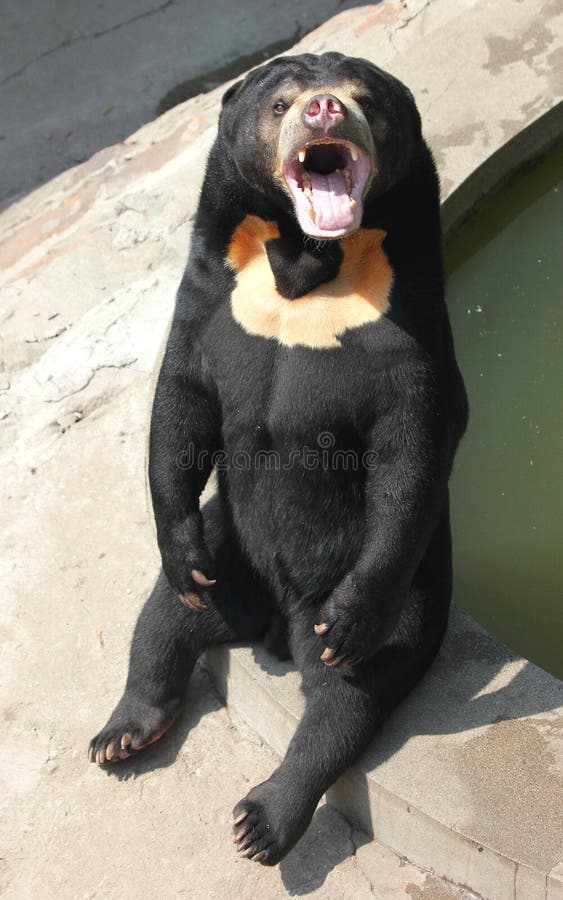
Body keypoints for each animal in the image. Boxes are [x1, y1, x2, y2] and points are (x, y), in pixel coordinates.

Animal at [89, 52, 468, 866]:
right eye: (282, 102)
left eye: (365, 99)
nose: (325, 109)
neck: (307, 263)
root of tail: (271, 627)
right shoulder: (211, 301)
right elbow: (181, 404)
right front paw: (177, 541)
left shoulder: (410, 331)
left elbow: (413, 444)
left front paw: (349, 622)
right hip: (229, 547)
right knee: (163, 619)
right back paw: (123, 733)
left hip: (402, 585)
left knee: (351, 691)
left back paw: (264, 818)